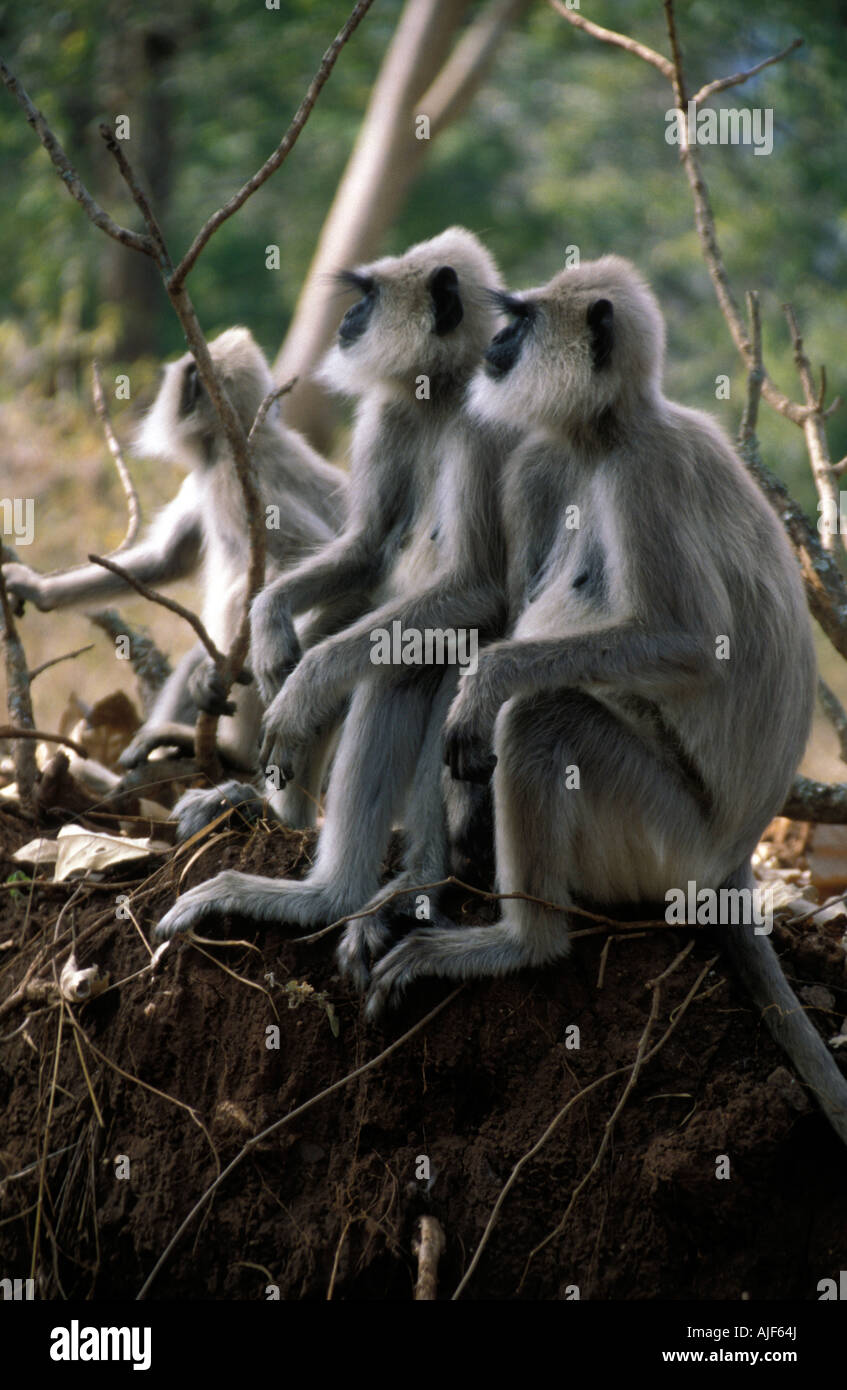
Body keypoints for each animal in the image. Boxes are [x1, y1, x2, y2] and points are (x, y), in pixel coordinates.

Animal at [155, 227, 517, 954]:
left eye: (369, 296)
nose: (348, 320)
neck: (441, 393)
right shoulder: (388, 411)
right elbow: (365, 550)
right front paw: (269, 623)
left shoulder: (482, 427)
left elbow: (476, 589)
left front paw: (303, 688)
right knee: (343, 615)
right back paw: (275, 812)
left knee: (407, 666)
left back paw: (337, 894)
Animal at [360, 255, 847, 1146]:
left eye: (519, 319)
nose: (496, 347)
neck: (607, 433)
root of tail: (732, 864)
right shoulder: (542, 465)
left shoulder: (640, 473)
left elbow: (687, 642)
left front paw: (488, 685)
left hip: (661, 840)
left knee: (544, 716)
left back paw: (522, 942)